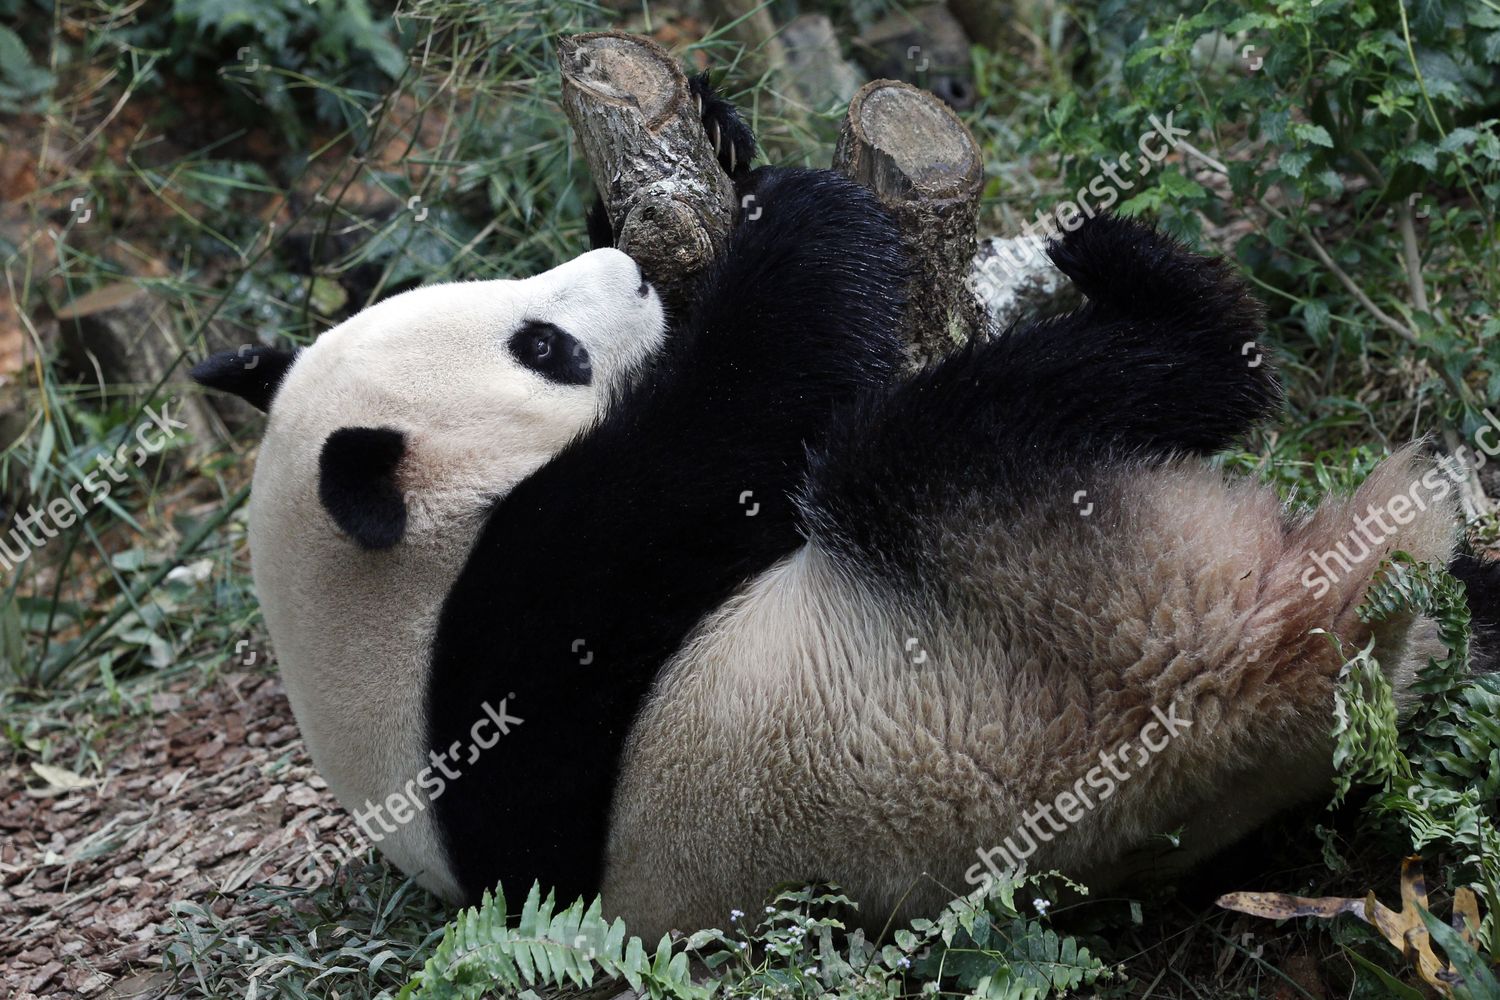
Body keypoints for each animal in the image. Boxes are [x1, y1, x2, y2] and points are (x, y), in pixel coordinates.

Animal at [192, 77, 1497, 940]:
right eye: (545, 346)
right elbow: (729, 437)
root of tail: (1270, 676)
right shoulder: (514, 632)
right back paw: (1133, 271)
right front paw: (798, 217)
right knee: (978, 425)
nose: (625, 275)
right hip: (1046, 592)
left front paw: (710, 141)